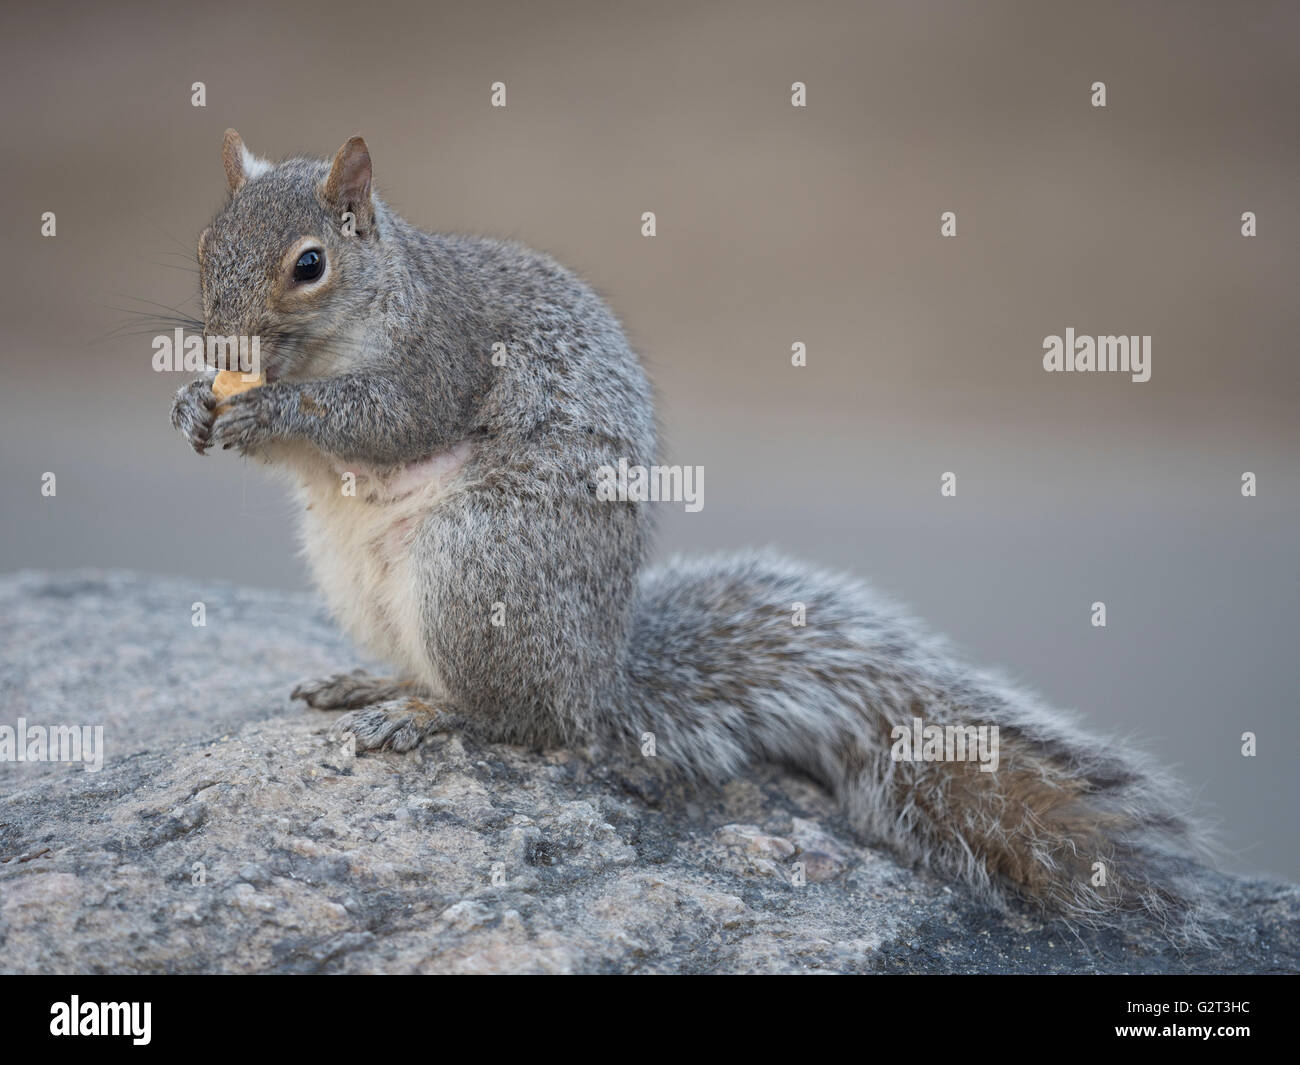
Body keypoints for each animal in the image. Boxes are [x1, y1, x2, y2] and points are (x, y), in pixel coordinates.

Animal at [172, 130, 1212, 939]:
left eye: (309, 265)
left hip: (480, 565)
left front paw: (273, 408)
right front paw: (193, 401)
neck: (366, 313)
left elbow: (387, 420)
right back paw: (376, 682)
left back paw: (431, 713)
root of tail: (600, 678)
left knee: (520, 717)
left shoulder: (445, 354)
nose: (222, 349)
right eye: (203, 243)